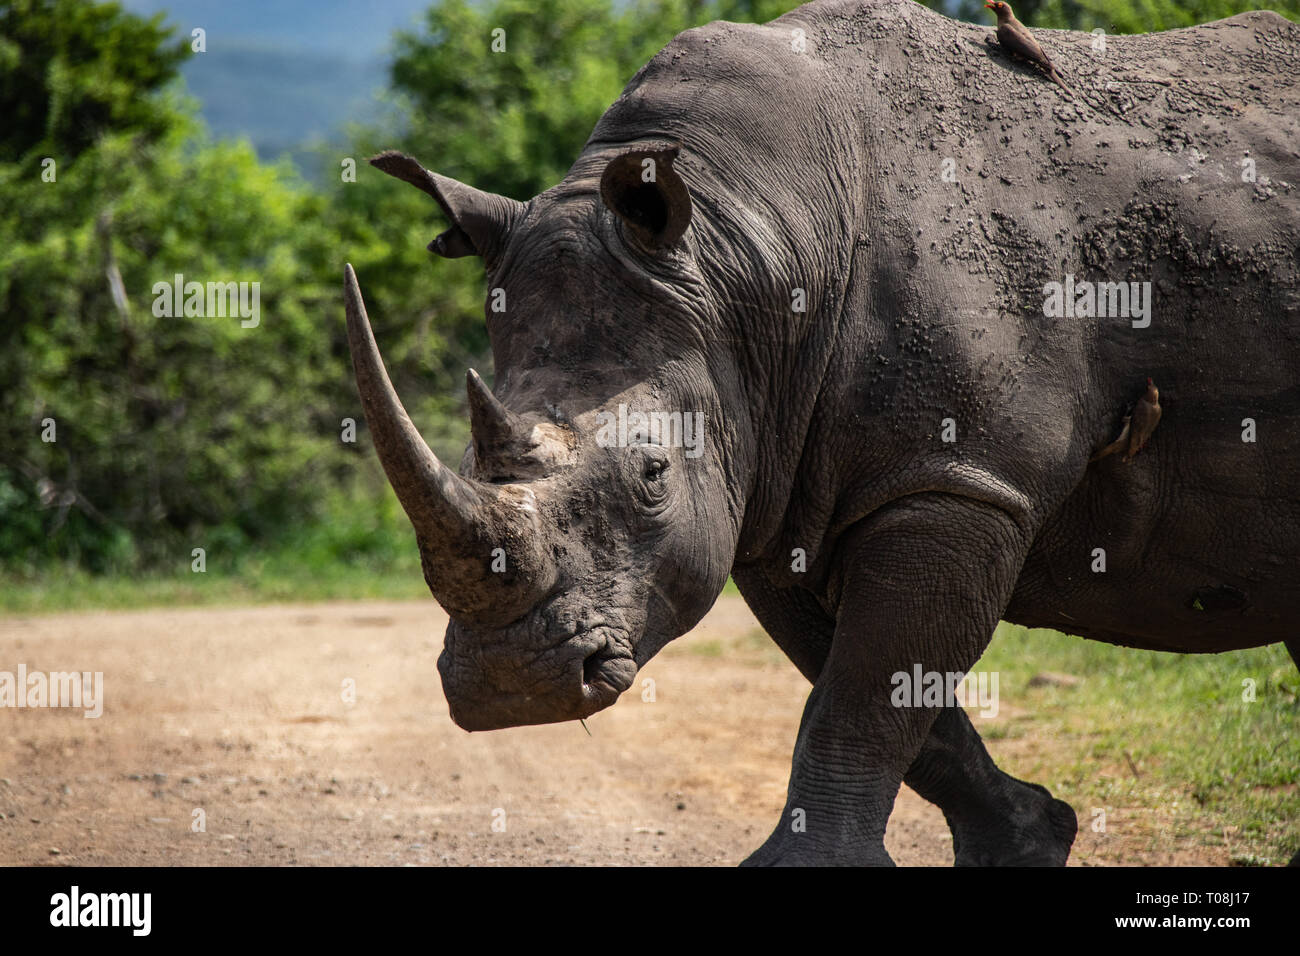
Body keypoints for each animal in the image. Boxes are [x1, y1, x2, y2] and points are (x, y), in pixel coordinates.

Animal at [343, 0, 1300, 865]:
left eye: (653, 474)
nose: (511, 687)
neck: (742, 252)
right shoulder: (780, 489)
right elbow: (884, 695)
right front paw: (1026, 837)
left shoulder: (956, 479)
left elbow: (863, 693)